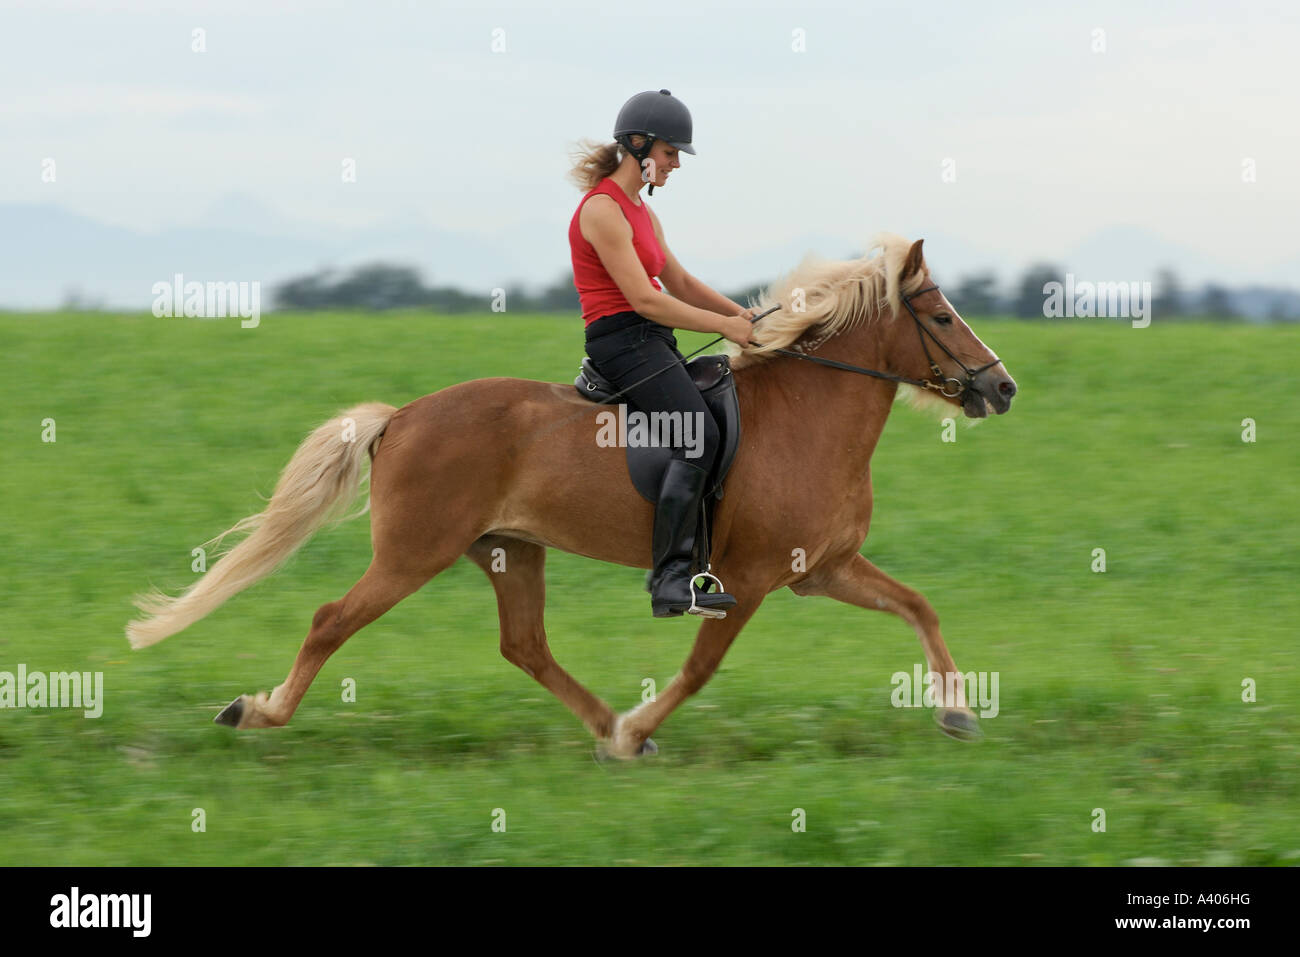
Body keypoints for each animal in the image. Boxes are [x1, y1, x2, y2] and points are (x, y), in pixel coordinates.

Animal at [125, 234, 1017, 759]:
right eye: (942, 314)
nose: (1002, 388)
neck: (808, 415)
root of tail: (402, 417)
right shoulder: (752, 578)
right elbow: (701, 668)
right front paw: (638, 729)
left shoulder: (822, 569)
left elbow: (921, 605)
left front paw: (957, 712)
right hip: (414, 553)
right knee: (330, 620)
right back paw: (258, 712)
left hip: (509, 548)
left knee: (524, 644)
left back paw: (599, 722)